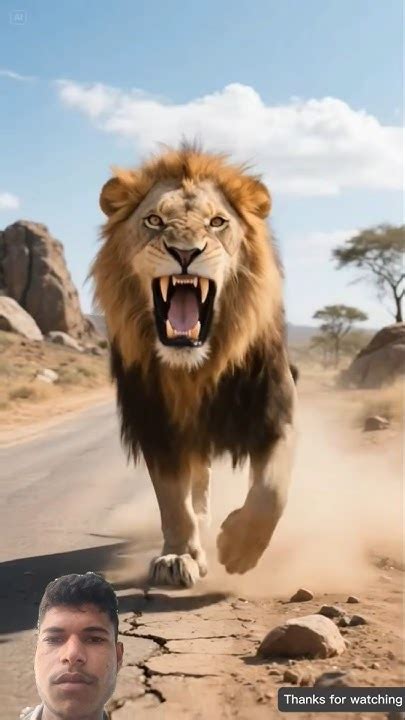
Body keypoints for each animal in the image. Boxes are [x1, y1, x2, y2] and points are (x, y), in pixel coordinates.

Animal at [91, 143, 297, 587]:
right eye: (154, 220)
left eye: (217, 222)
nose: (185, 253)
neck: (194, 370)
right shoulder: (157, 426)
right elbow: (172, 499)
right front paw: (179, 556)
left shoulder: (273, 414)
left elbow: (272, 491)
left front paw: (239, 549)